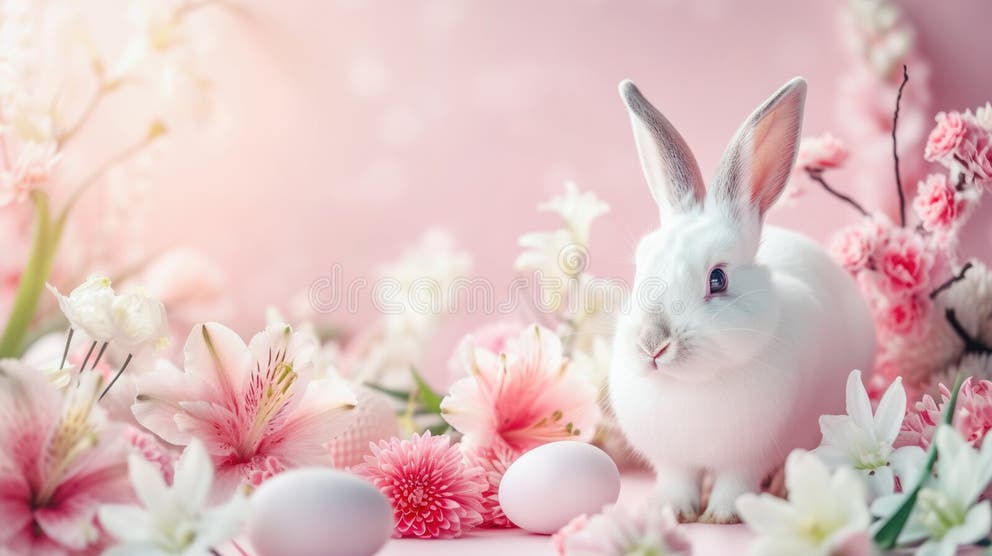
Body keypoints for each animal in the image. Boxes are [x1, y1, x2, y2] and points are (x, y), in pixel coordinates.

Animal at [608, 77, 876, 524]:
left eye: (717, 279)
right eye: (641, 264)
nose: (652, 344)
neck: (689, 386)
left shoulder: (746, 458)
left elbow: (735, 481)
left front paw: (722, 515)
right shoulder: (673, 462)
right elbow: (678, 481)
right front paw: (672, 510)